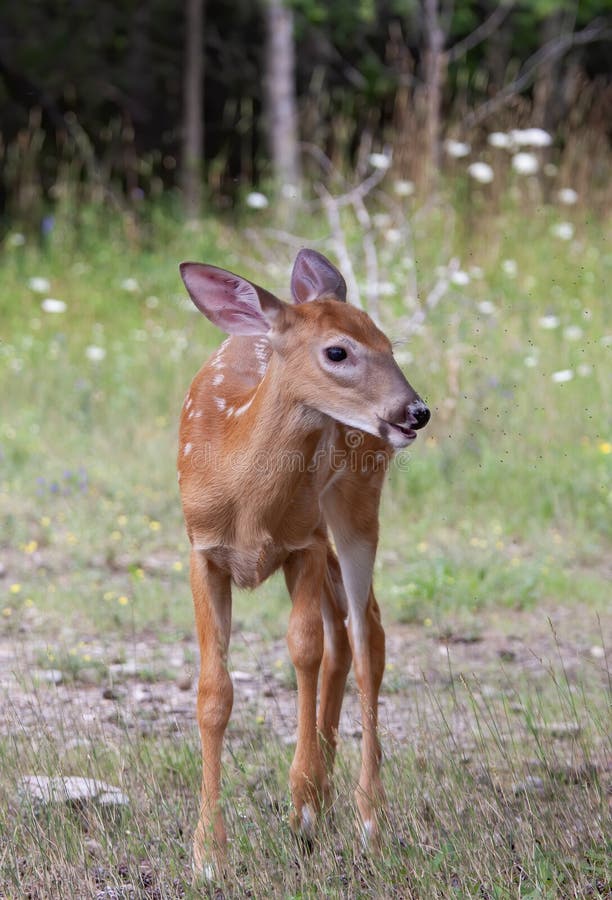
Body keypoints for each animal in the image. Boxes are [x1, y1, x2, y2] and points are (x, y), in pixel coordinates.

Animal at [177, 249, 430, 878]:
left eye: (388, 343)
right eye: (338, 351)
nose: (416, 411)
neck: (243, 499)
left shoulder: (304, 544)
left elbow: (304, 651)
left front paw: (304, 803)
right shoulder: (201, 550)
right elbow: (214, 692)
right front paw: (208, 852)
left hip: (356, 503)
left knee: (365, 638)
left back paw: (366, 821)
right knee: (347, 634)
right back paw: (334, 802)